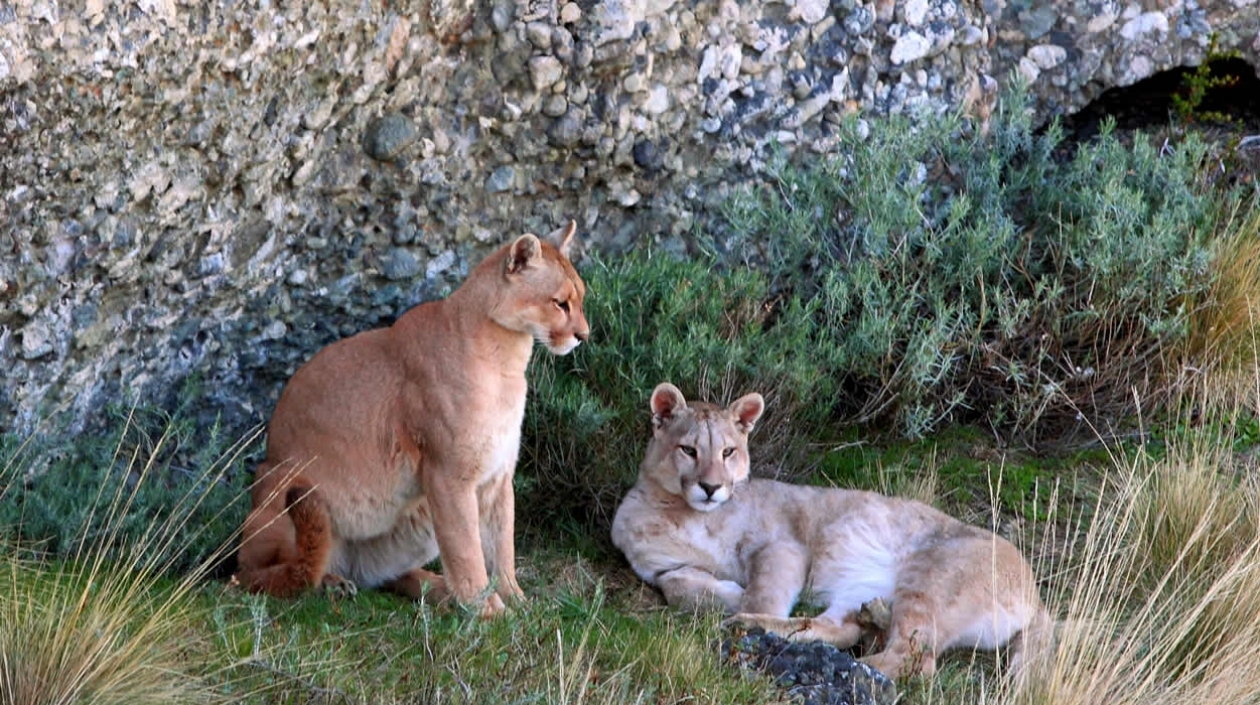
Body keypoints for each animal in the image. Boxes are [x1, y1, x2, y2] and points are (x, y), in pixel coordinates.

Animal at [234, 221, 589, 617]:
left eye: (581, 298)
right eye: (560, 303)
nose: (584, 335)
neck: (507, 359)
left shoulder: (497, 475)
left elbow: (501, 546)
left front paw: (516, 601)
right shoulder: (450, 475)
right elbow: (467, 550)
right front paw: (488, 612)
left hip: (416, 518)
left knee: (380, 576)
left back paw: (433, 588)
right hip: (286, 486)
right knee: (265, 573)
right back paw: (332, 582)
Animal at [611, 383, 1051, 678]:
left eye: (728, 452)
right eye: (688, 450)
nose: (710, 486)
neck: (685, 512)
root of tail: (1035, 593)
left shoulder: (781, 546)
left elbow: (763, 591)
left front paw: (743, 606)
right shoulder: (663, 568)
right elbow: (678, 586)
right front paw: (730, 598)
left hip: (930, 575)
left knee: (914, 659)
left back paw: (844, 666)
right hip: (856, 586)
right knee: (841, 628)